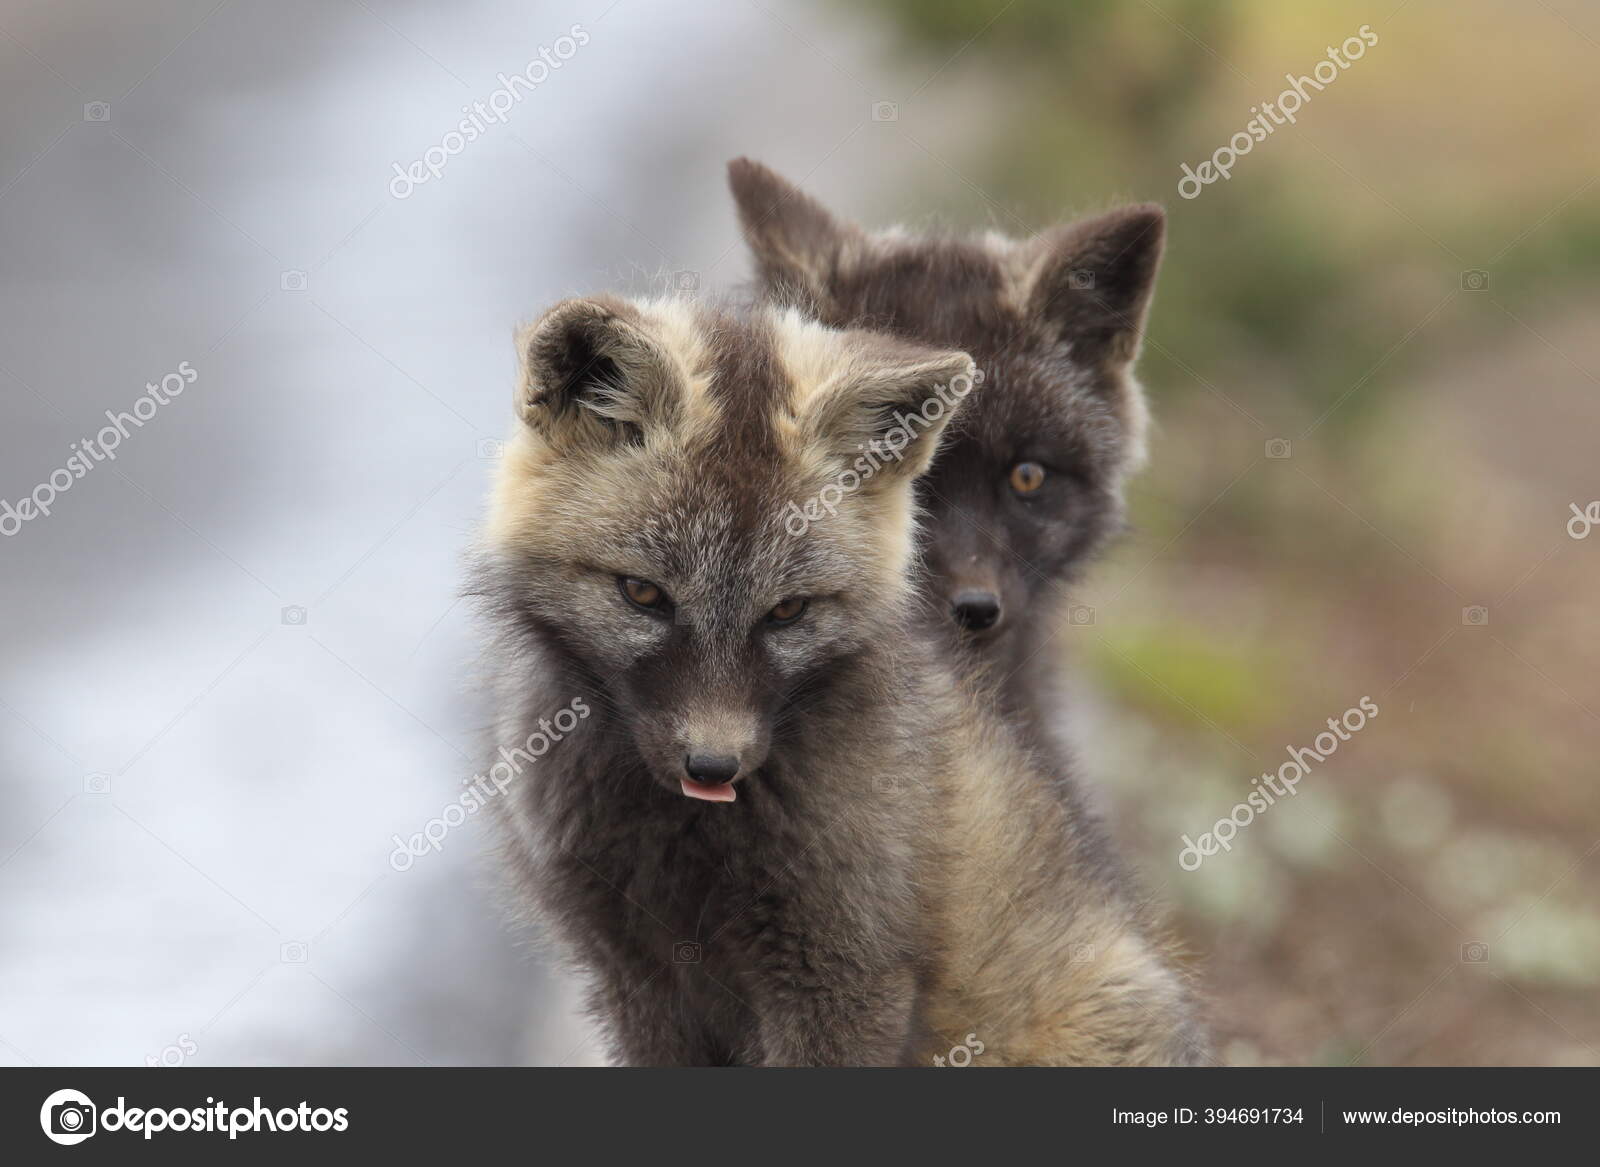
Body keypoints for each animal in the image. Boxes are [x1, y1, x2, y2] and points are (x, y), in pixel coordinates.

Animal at [473, 293, 1206, 1065]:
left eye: (787, 611)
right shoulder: (633, 978)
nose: (714, 765)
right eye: (643, 595)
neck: (676, 845)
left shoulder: (844, 978)